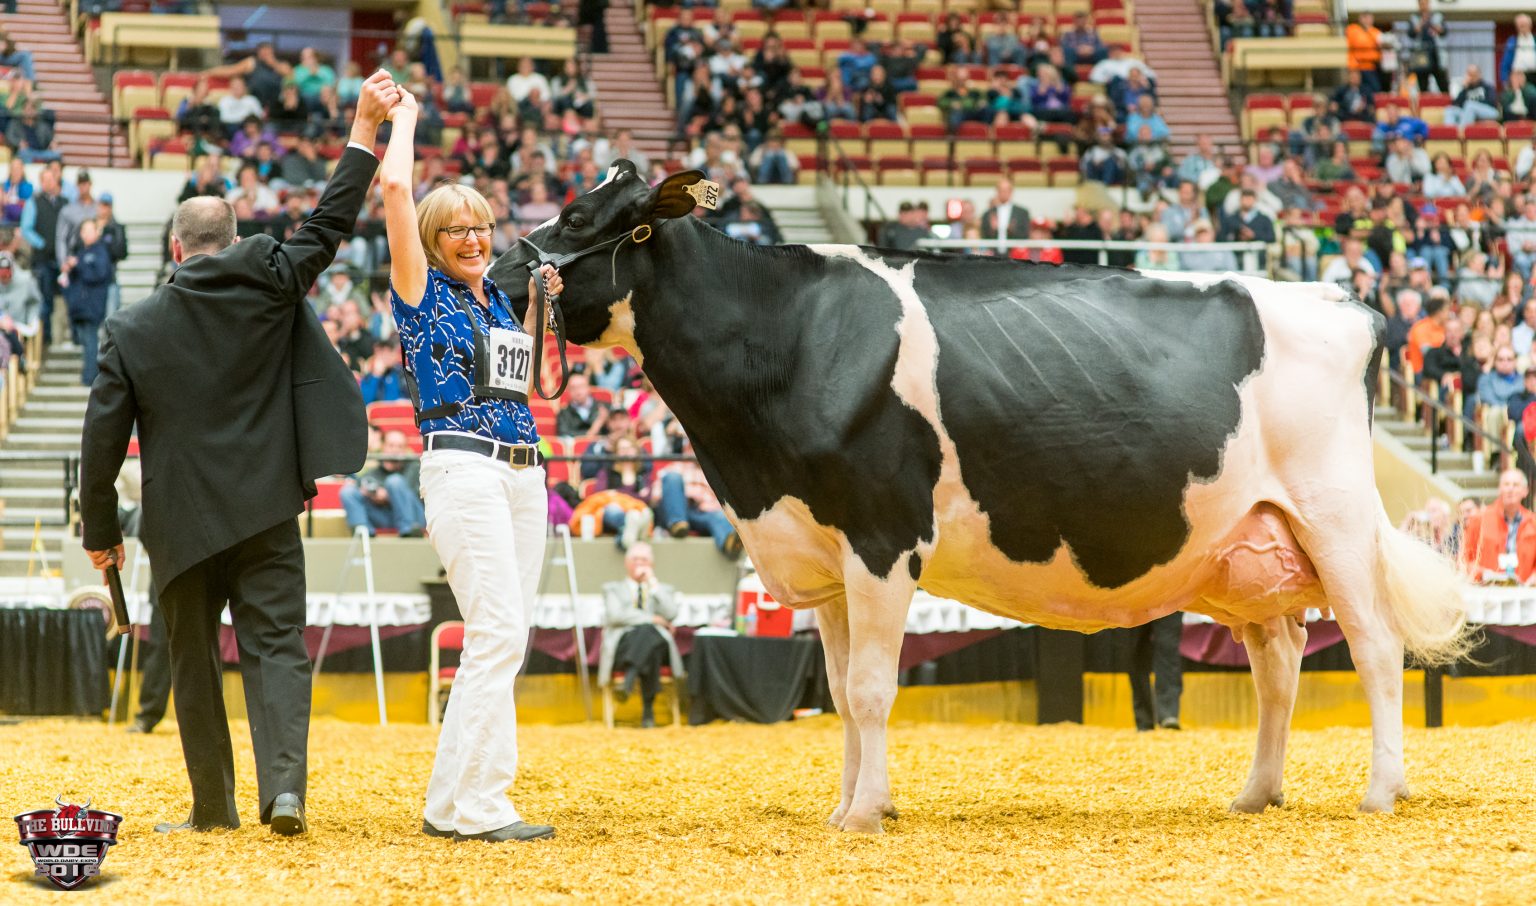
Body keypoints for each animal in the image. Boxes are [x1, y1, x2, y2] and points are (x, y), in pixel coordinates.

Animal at [491, 160, 1472, 833]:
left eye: (577, 215)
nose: (496, 269)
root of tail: (1348, 303)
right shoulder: (822, 550)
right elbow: (840, 691)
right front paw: (851, 804)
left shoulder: (883, 537)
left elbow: (874, 688)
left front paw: (864, 814)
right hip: (1245, 546)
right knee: (1278, 661)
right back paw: (1256, 793)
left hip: (1335, 518)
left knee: (1375, 648)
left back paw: (1381, 791)